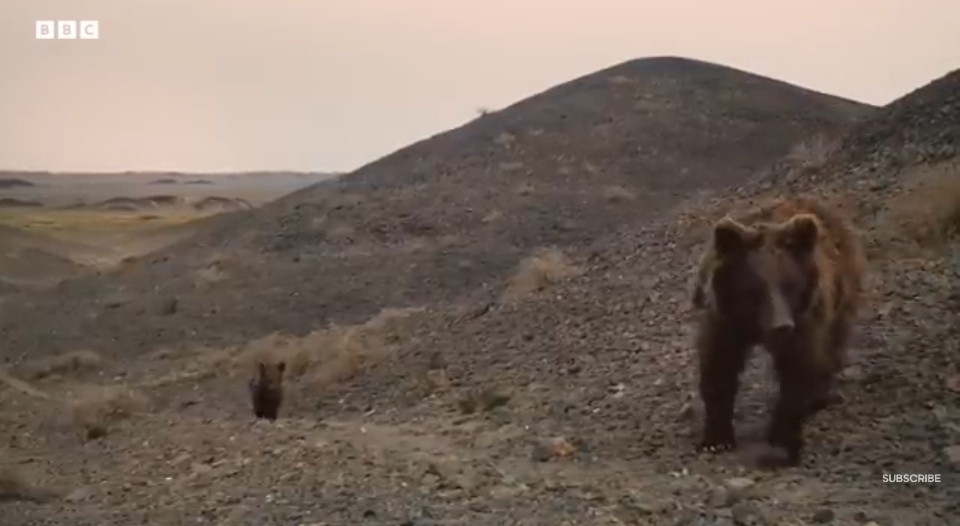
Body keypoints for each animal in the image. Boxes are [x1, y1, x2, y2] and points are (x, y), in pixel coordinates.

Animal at [690, 196, 865, 467]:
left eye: (789, 285)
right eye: (754, 288)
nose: (781, 326)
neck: (755, 326)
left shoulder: (804, 320)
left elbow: (798, 369)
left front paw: (782, 440)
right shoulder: (723, 319)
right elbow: (719, 366)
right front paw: (717, 438)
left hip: (842, 293)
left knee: (833, 344)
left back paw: (820, 395)